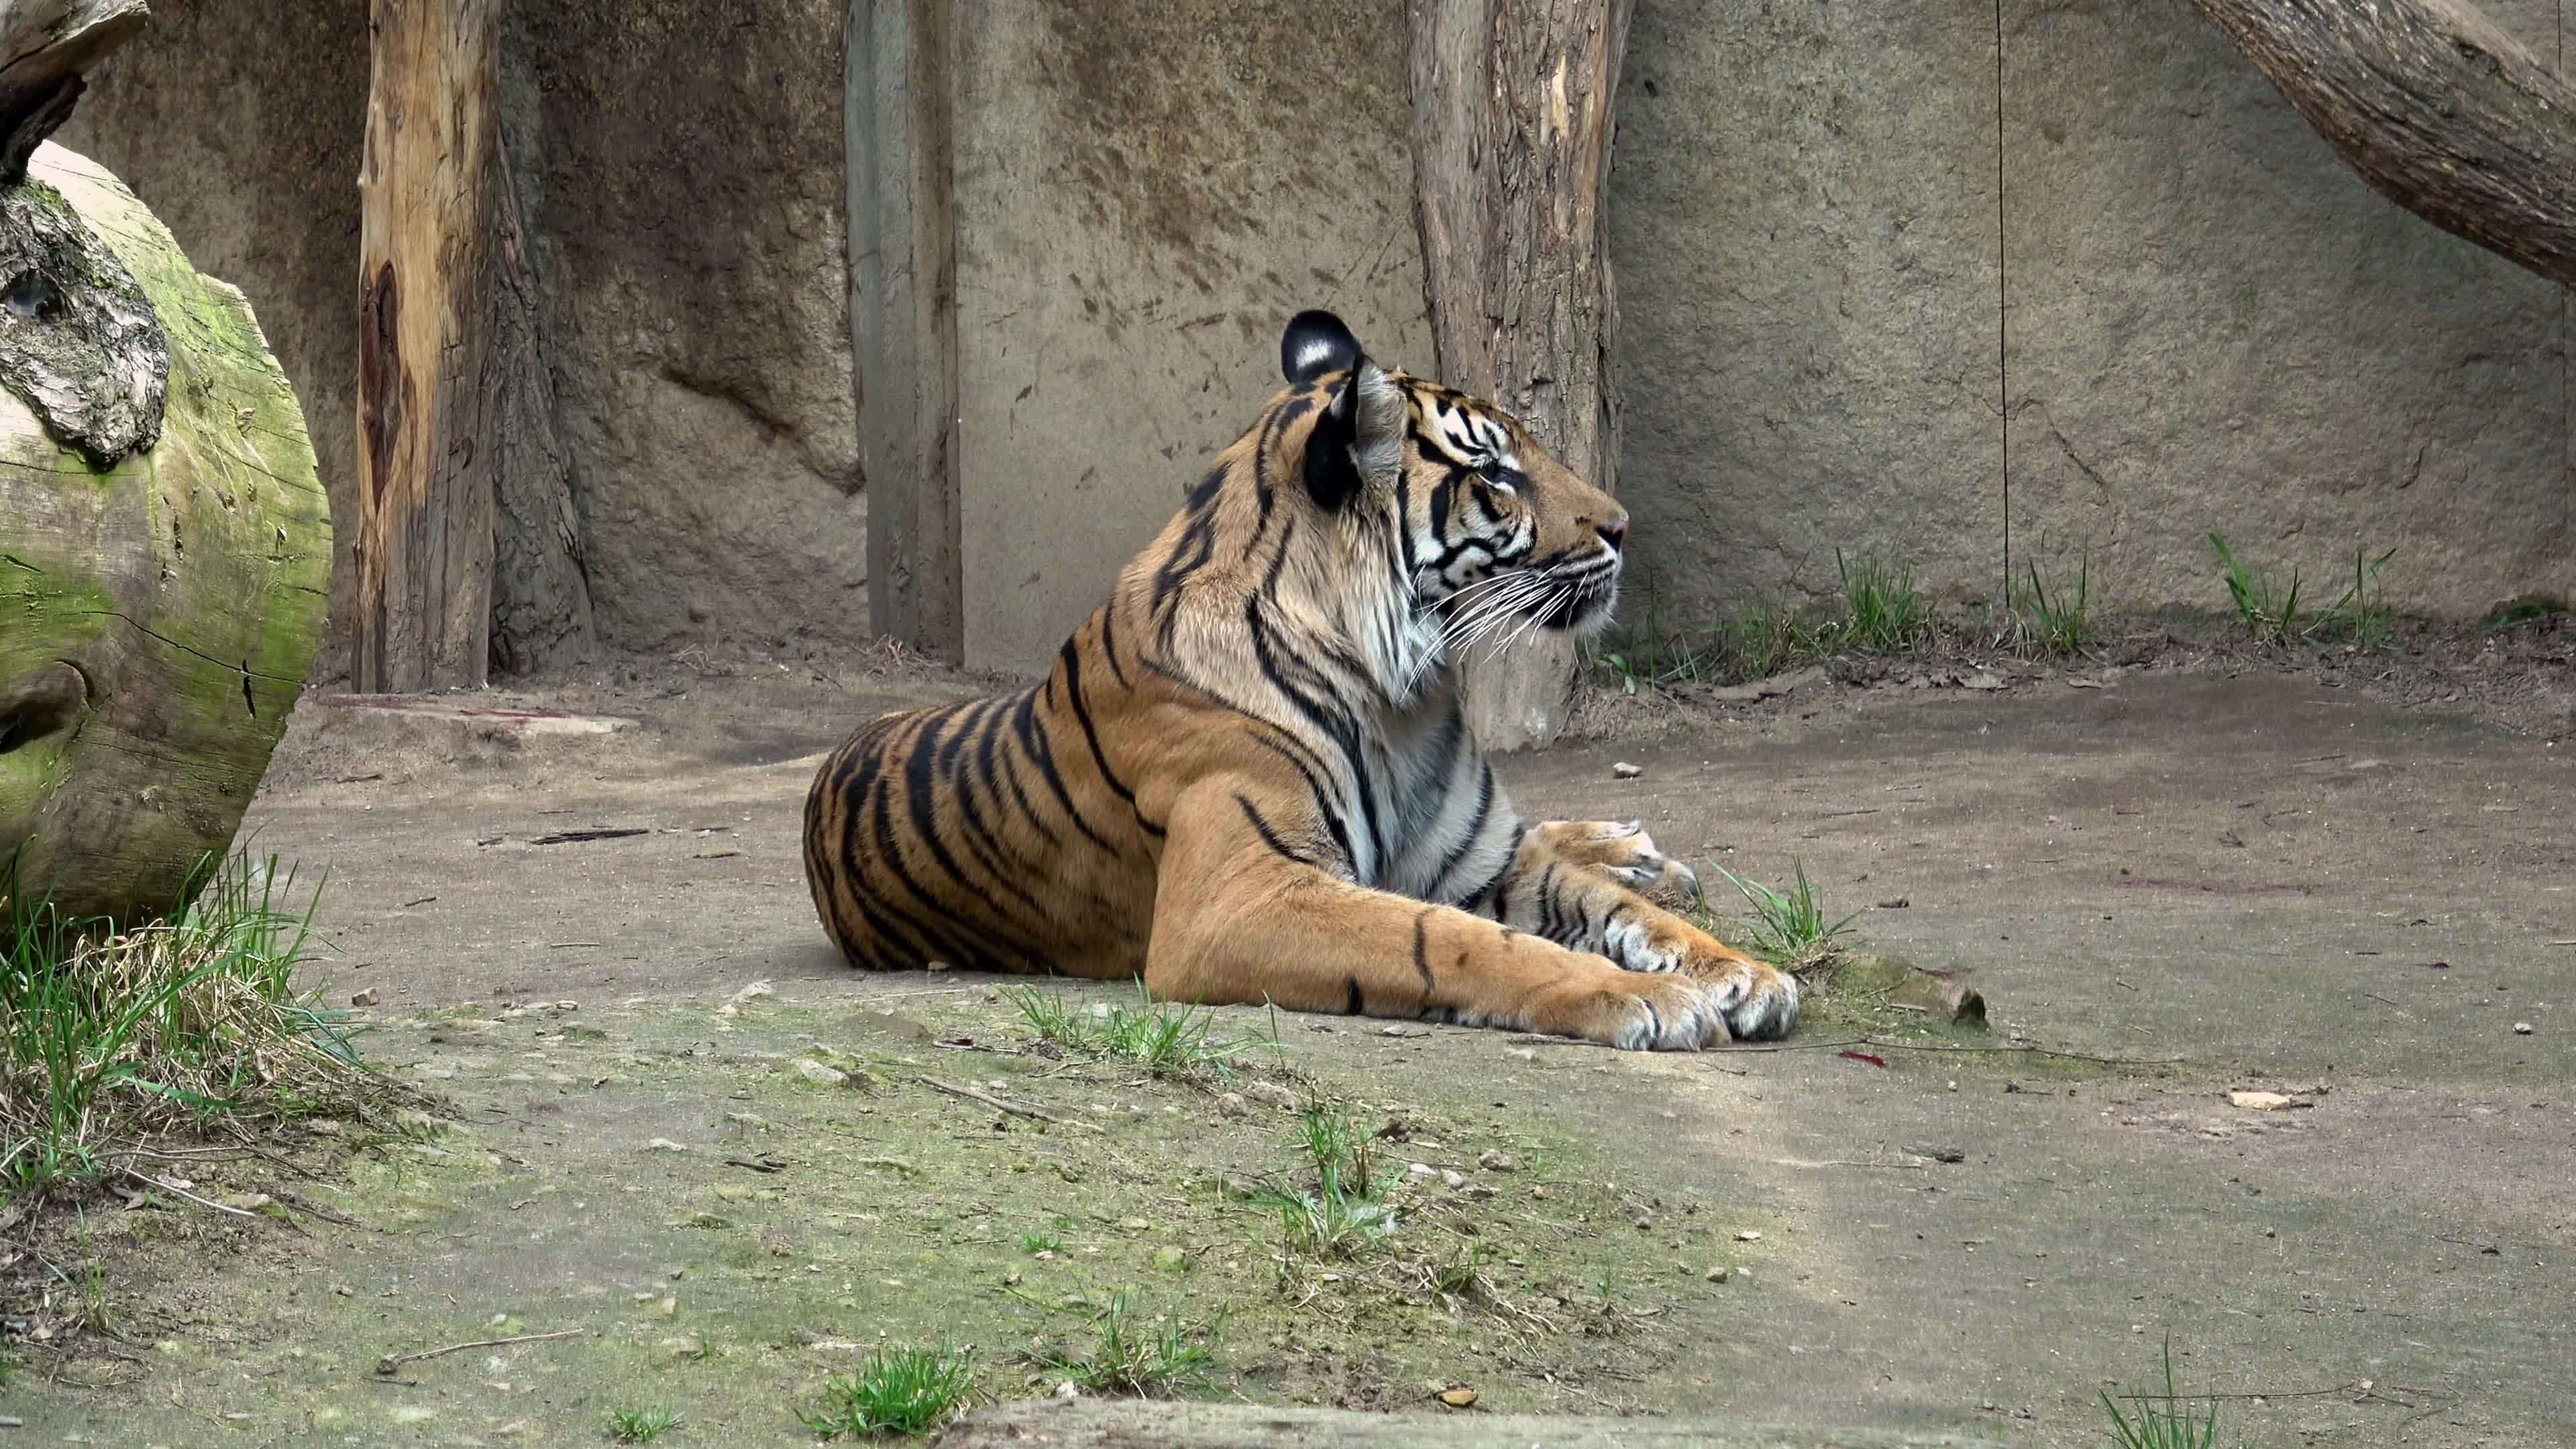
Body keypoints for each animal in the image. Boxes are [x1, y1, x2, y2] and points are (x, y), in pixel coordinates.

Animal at [801, 310, 1799, 1049]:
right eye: (1493, 470)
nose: (1623, 526)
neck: (1404, 697)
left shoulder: (1479, 853)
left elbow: (1616, 910)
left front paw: (1745, 974)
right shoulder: (1236, 899)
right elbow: (1456, 940)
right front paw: (1647, 999)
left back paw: (1632, 848)